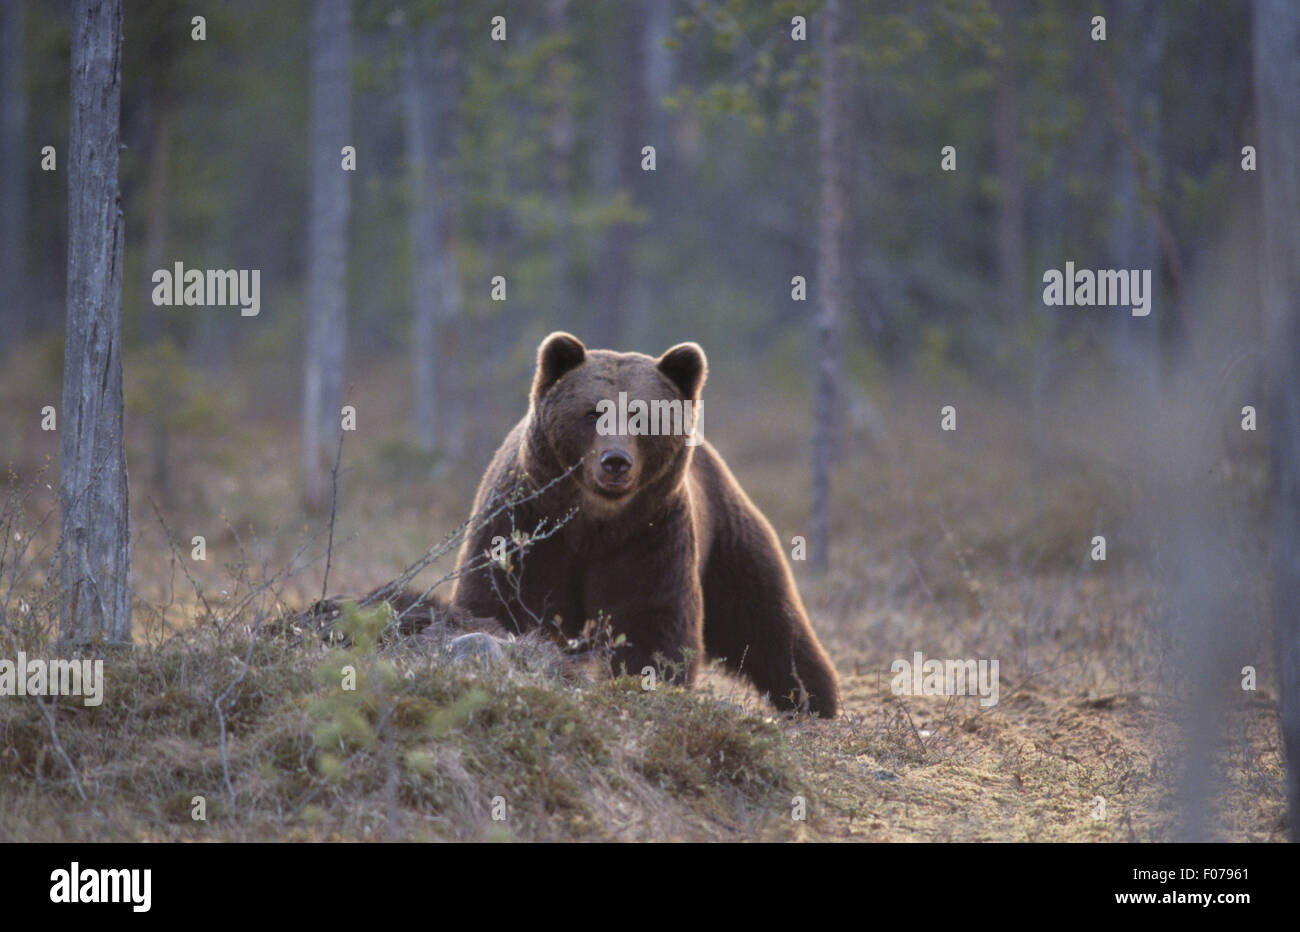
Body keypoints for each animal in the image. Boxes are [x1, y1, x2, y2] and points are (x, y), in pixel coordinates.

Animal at [450, 332, 841, 717]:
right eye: (593, 412)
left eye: (641, 416)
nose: (615, 461)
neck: (594, 522)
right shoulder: (526, 526)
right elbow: (498, 599)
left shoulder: (649, 538)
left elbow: (651, 621)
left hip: (727, 534)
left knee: (767, 615)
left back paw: (813, 696)